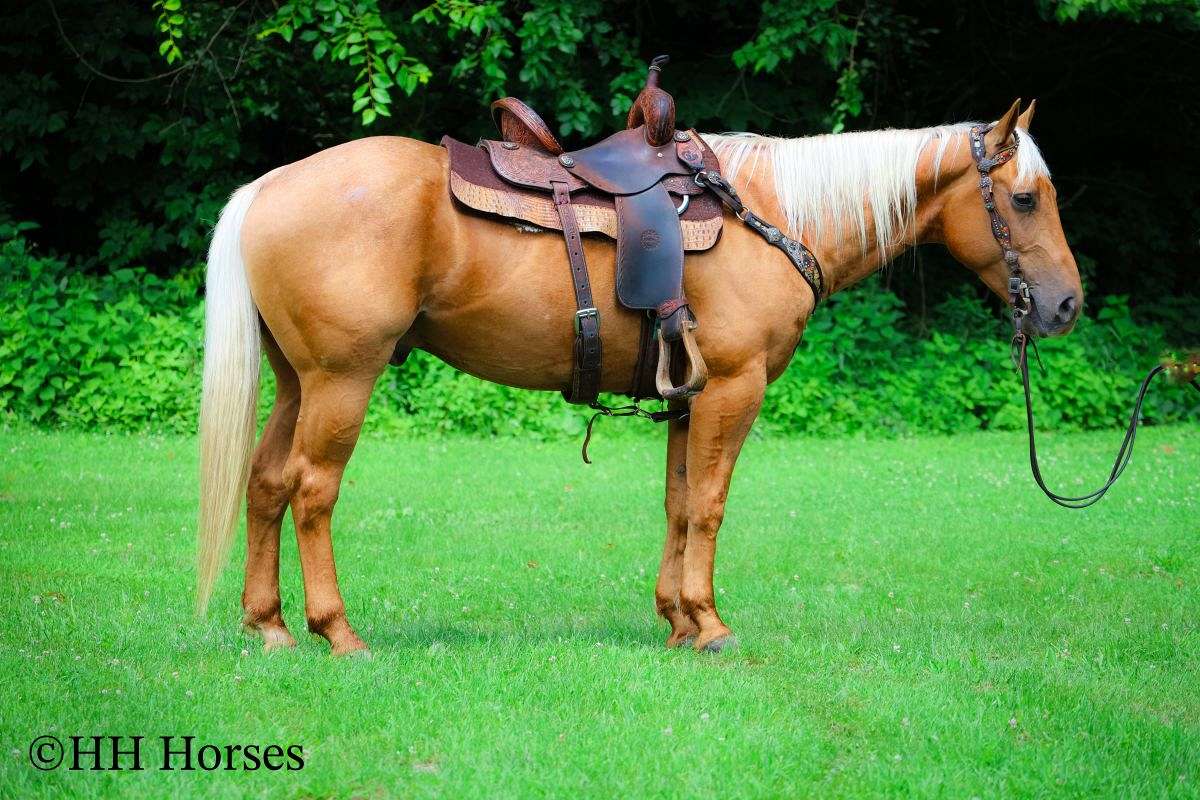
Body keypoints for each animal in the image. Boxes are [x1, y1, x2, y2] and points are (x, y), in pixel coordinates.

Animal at [196, 99, 1081, 655]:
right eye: (1026, 200)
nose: (1068, 304)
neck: (770, 214)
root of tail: (266, 188)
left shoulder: (689, 397)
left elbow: (680, 504)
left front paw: (677, 620)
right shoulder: (734, 387)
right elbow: (712, 506)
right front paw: (710, 624)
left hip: (297, 381)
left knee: (265, 483)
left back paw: (270, 627)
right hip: (343, 379)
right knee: (311, 491)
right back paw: (336, 631)